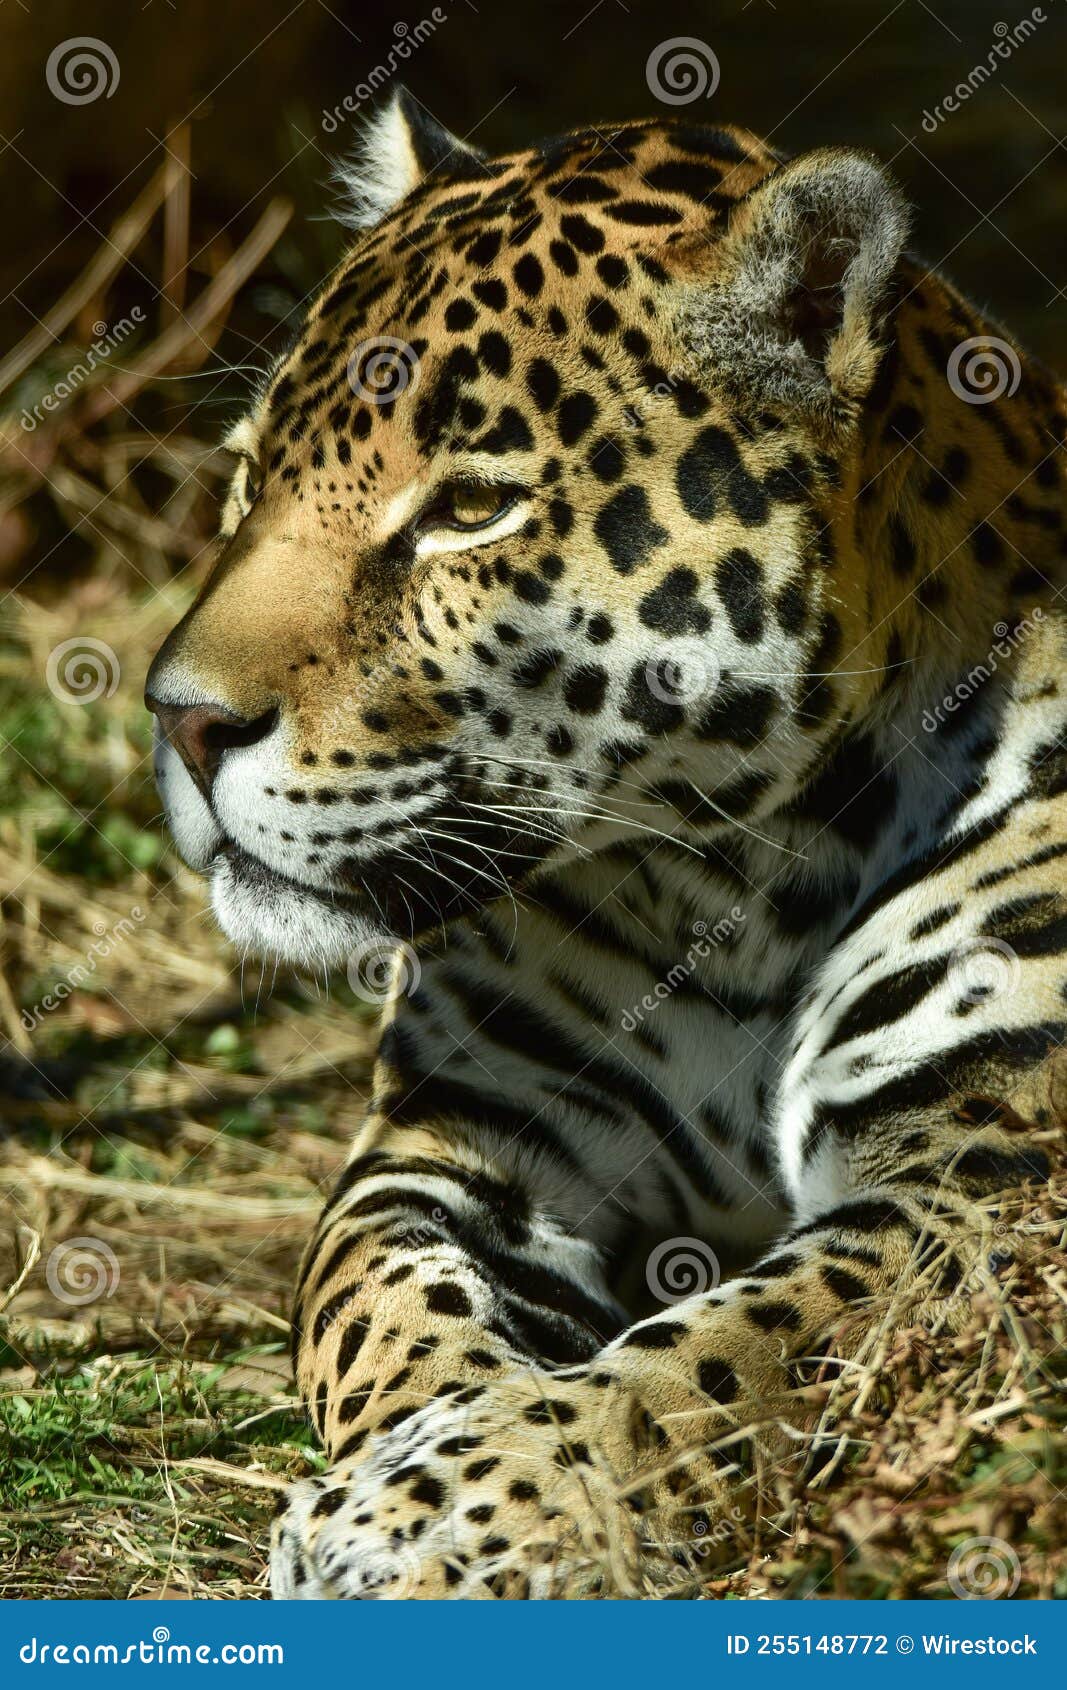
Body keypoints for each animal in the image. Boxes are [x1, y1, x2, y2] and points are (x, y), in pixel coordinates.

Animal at [146, 88, 1067, 1599]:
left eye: (470, 510)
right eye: (249, 476)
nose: (180, 718)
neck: (732, 876)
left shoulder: (976, 1179)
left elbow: (715, 1362)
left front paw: (442, 1512)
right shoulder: (458, 1136)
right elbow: (382, 1312)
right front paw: (424, 1451)